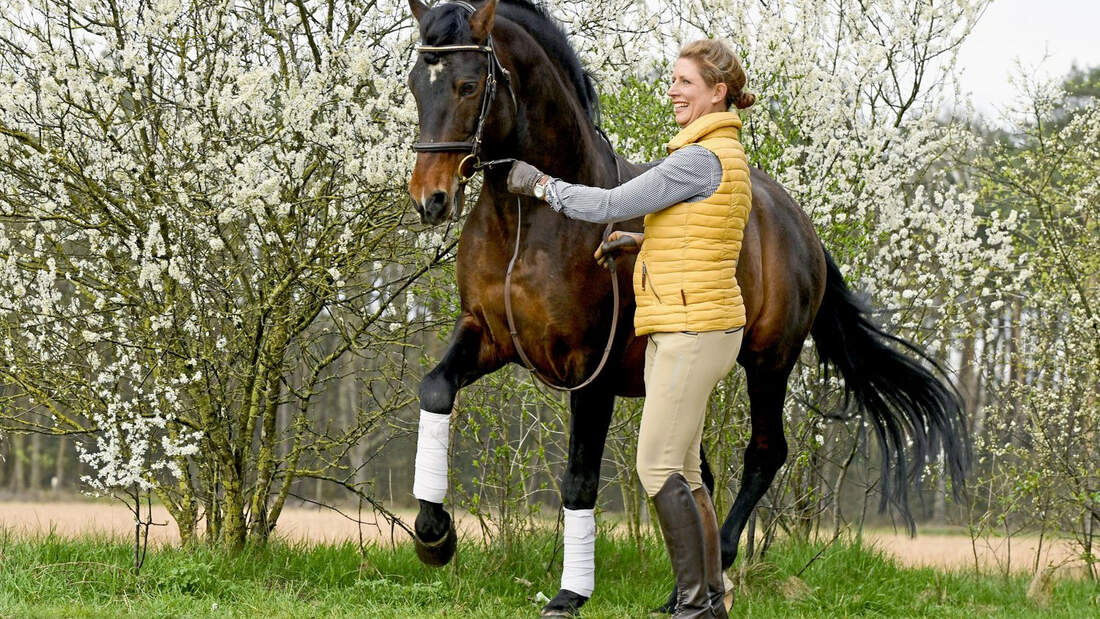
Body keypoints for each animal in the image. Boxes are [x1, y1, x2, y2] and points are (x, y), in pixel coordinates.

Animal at [403, 1, 968, 615]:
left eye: (467, 84)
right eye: (414, 85)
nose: (430, 199)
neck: (529, 224)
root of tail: (801, 225)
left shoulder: (591, 372)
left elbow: (579, 479)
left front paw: (570, 594)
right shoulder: (488, 335)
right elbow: (436, 389)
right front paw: (434, 535)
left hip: (768, 363)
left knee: (763, 453)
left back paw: (719, 564)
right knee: (694, 475)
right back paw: (686, 589)